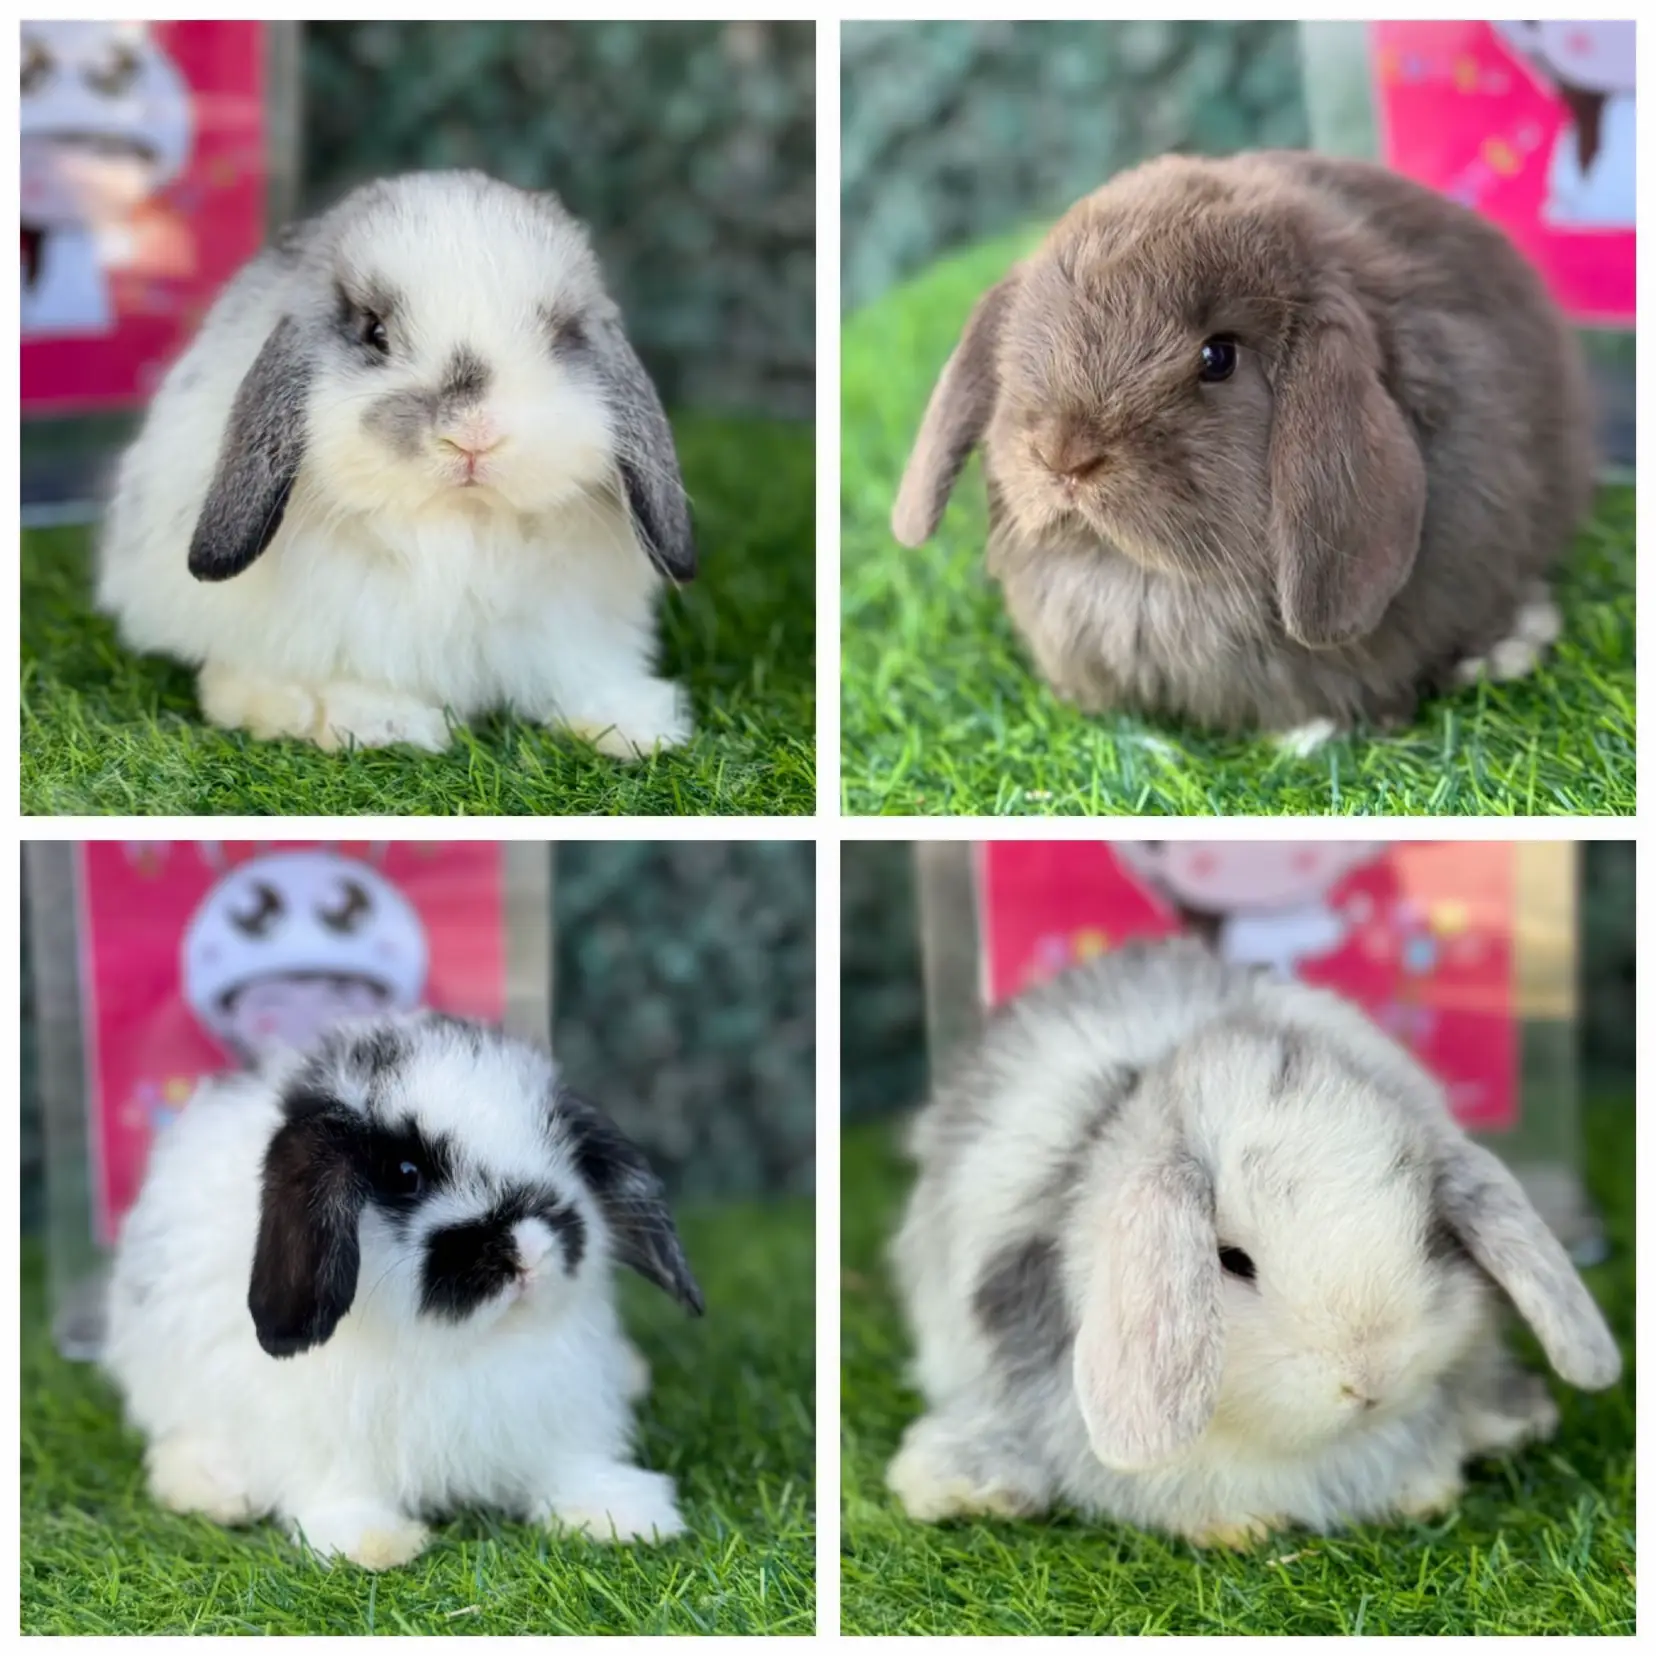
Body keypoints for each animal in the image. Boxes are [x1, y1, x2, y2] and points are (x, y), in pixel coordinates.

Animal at [95, 170, 696, 758]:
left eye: (560, 336)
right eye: (375, 333)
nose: (473, 434)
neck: (461, 520)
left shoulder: (572, 628)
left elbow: (582, 676)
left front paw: (637, 728)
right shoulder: (352, 629)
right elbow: (360, 674)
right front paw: (388, 725)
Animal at [101, 1010, 705, 1570]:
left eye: (560, 1146)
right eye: (404, 1173)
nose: (528, 1252)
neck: (454, 1346)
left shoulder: (559, 1409)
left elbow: (573, 1467)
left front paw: (623, 1515)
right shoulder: (318, 1434)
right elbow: (338, 1488)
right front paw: (372, 1544)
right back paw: (206, 1486)